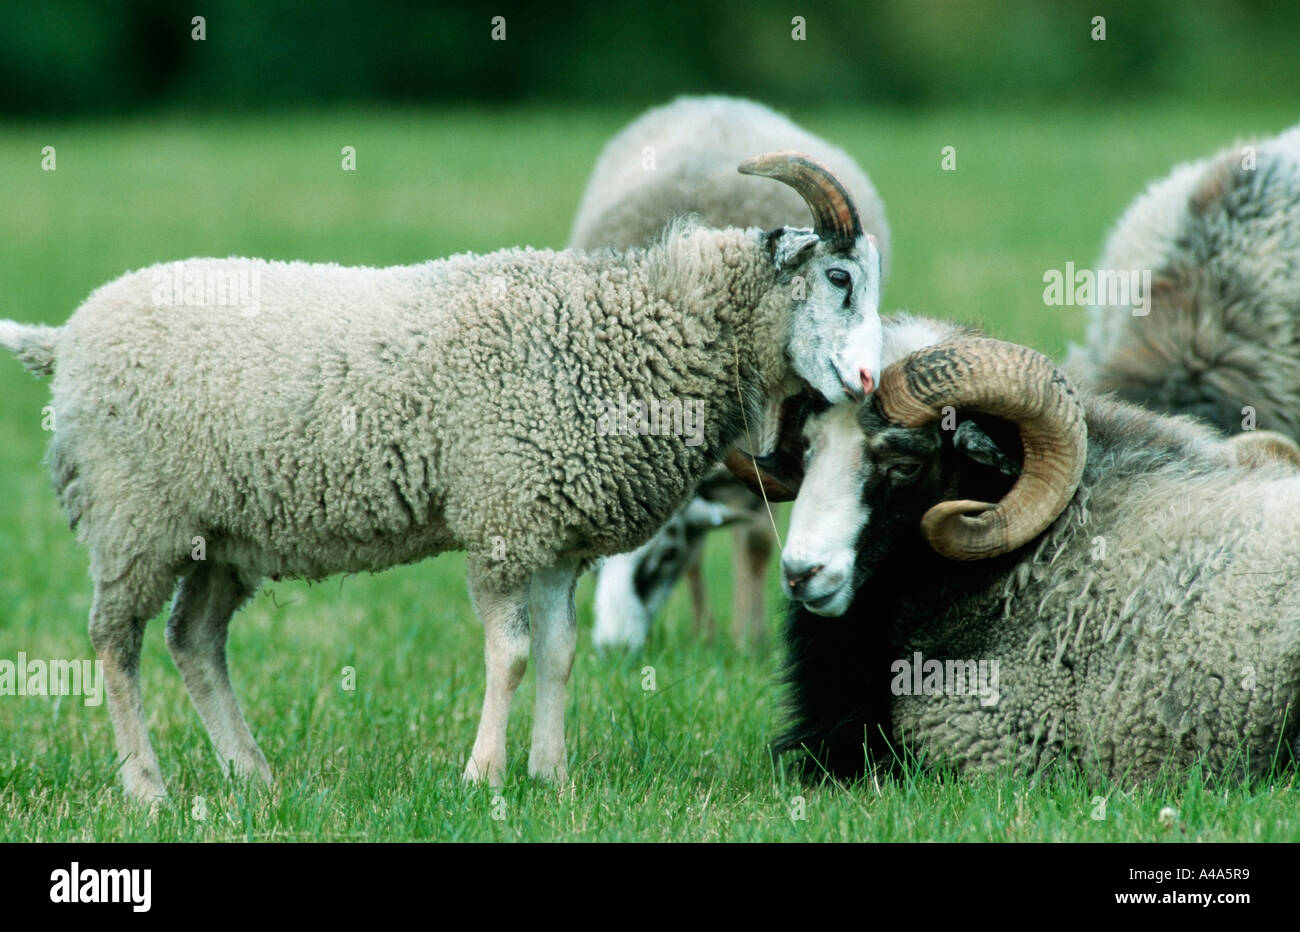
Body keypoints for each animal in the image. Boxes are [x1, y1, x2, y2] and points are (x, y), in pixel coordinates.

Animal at [1, 151, 885, 803]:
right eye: (839, 279)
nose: (870, 383)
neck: (630, 331)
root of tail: (65, 337)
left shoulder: (555, 533)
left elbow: (559, 655)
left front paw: (552, 778)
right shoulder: (503, 520)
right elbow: (512, 656)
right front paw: (483, 777)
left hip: (219, 533)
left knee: (194, 639)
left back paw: (253, 776)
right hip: (134, 517)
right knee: (115, 641)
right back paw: (147, 787)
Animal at [572, 95, 892, 651]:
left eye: (661, 557)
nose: (612, 652)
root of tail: (710, 101)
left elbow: (757, 541)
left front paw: (749, 641)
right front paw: (705, 635)